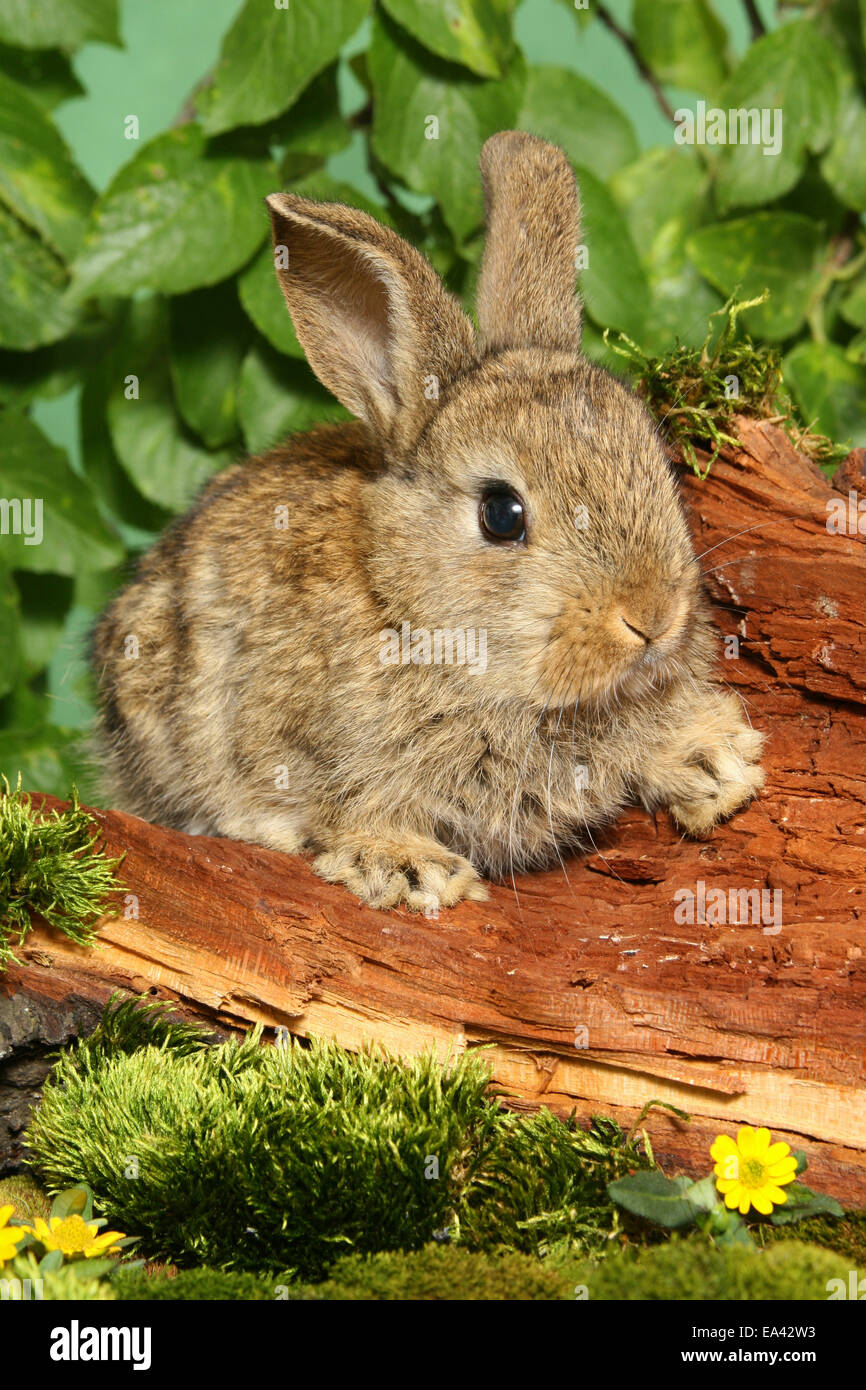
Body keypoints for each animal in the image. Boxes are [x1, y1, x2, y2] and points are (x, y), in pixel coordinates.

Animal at [90, 130, 765, 913]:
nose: (652, 618)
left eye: (659, 464)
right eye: (501, 514)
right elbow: (338, 810)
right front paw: (408, 870)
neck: (410, 611)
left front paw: (718, 761)